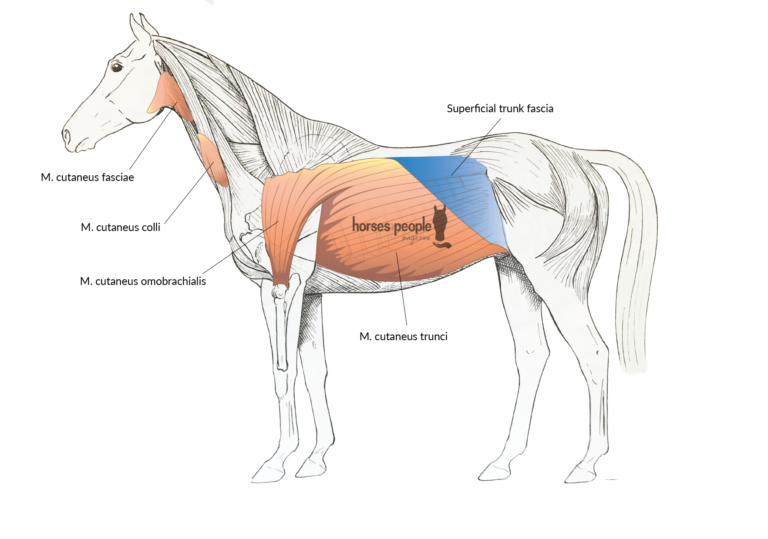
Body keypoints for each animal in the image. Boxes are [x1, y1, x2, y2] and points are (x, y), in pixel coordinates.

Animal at [61, 10, 657, 485]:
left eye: (118, 67)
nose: (69, 135)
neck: (273, 168)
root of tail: (574, 158)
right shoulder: (306, 294)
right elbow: (312, 368)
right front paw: (314, 459)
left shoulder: (282, 288)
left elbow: (282, 371)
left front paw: (274, 464)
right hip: (514, 274)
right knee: (533, 356)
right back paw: (500, 464)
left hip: (554, 279)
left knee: (592, 354)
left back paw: (584, 467)